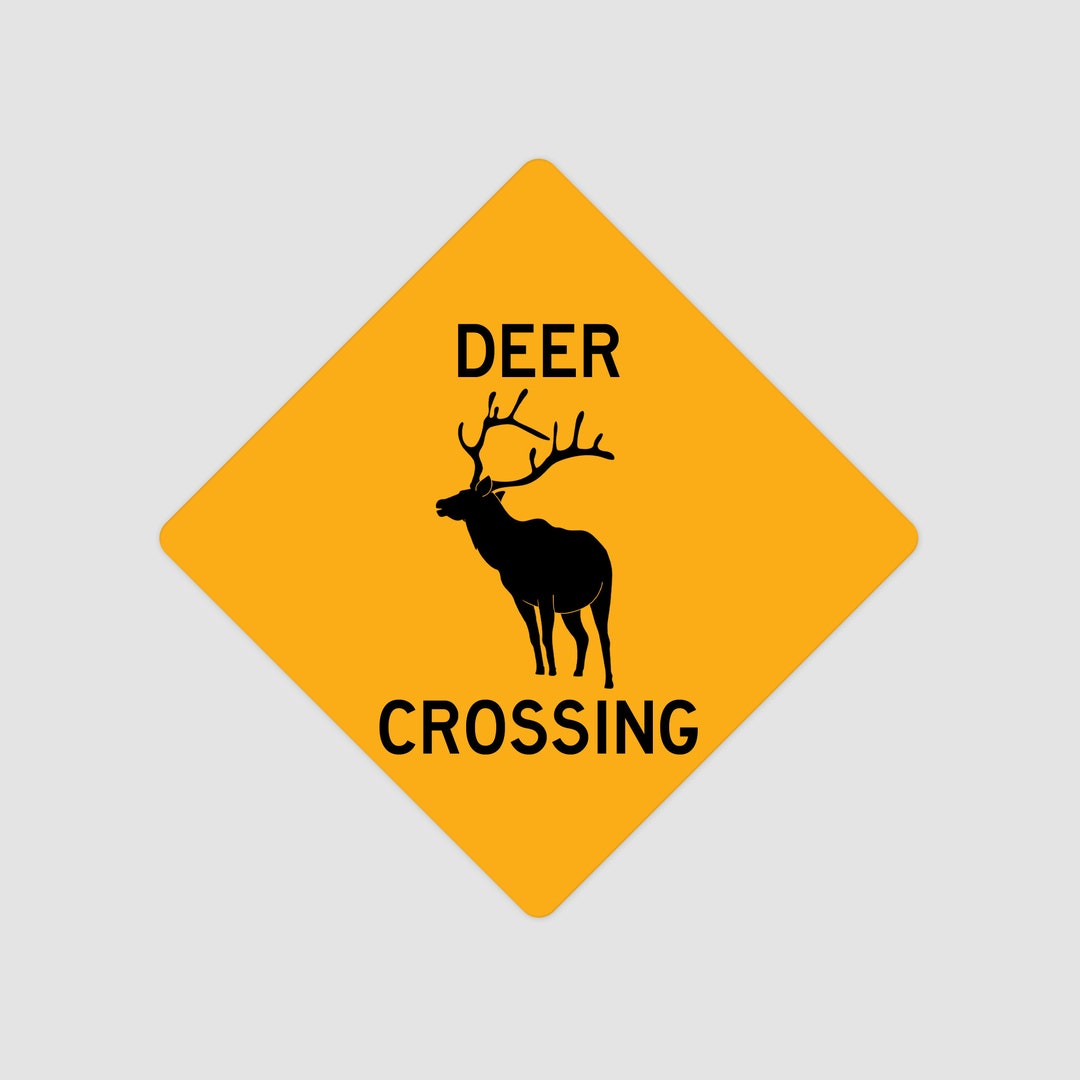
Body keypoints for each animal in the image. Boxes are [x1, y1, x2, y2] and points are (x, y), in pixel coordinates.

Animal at [435, 389, 615, 689]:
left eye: (466, 496)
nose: (440, 503)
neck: (505, 554)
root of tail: (603, 550)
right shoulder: (519, 596)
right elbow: (533, 636)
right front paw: (541, 670)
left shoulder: (545, 593)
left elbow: (546, 635)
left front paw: (552, 672)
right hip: (572, 607)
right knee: (582, 636)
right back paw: (577, 673)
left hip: (604, 593)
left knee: (603, 635)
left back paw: (608, 681)